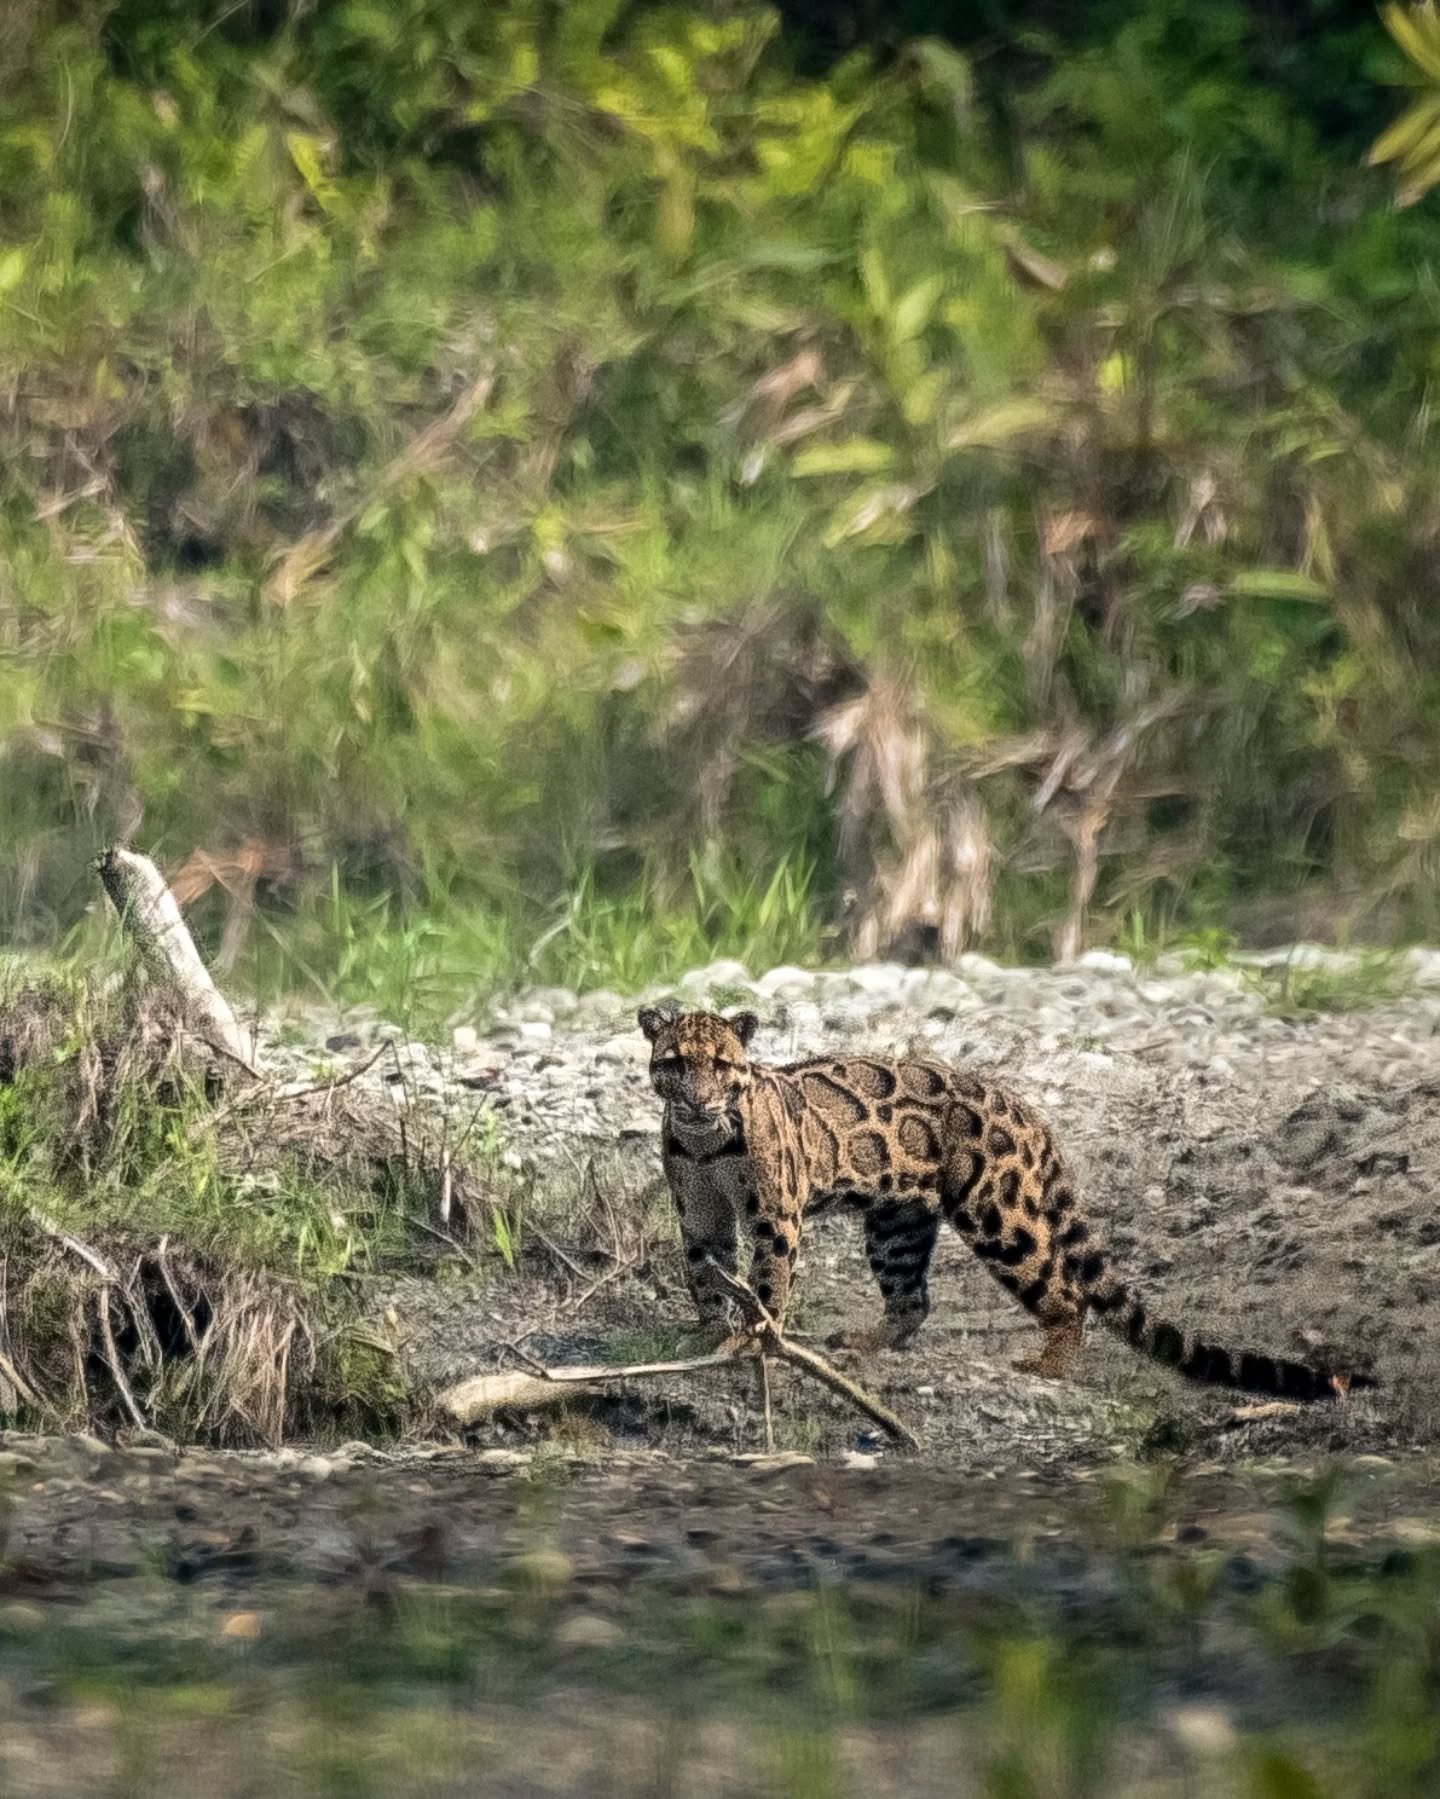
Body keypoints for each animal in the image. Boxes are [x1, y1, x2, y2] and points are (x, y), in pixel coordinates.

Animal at [639, 1004, 1375, 1401]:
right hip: (897, 1222)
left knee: (1067, 1295)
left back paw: (1045, 1363)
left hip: (1000, 1215)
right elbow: (705, 1273)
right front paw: (706, 1332)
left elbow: (765, 1281)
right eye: (674, 1062)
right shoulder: (699, 1213)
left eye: (721, 1063)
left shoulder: (774, 1214)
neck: (705, 1142)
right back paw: (871, 1340)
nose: (699, 1100)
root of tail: (1023, 1105)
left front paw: (752, 1337)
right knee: (913, 1297)